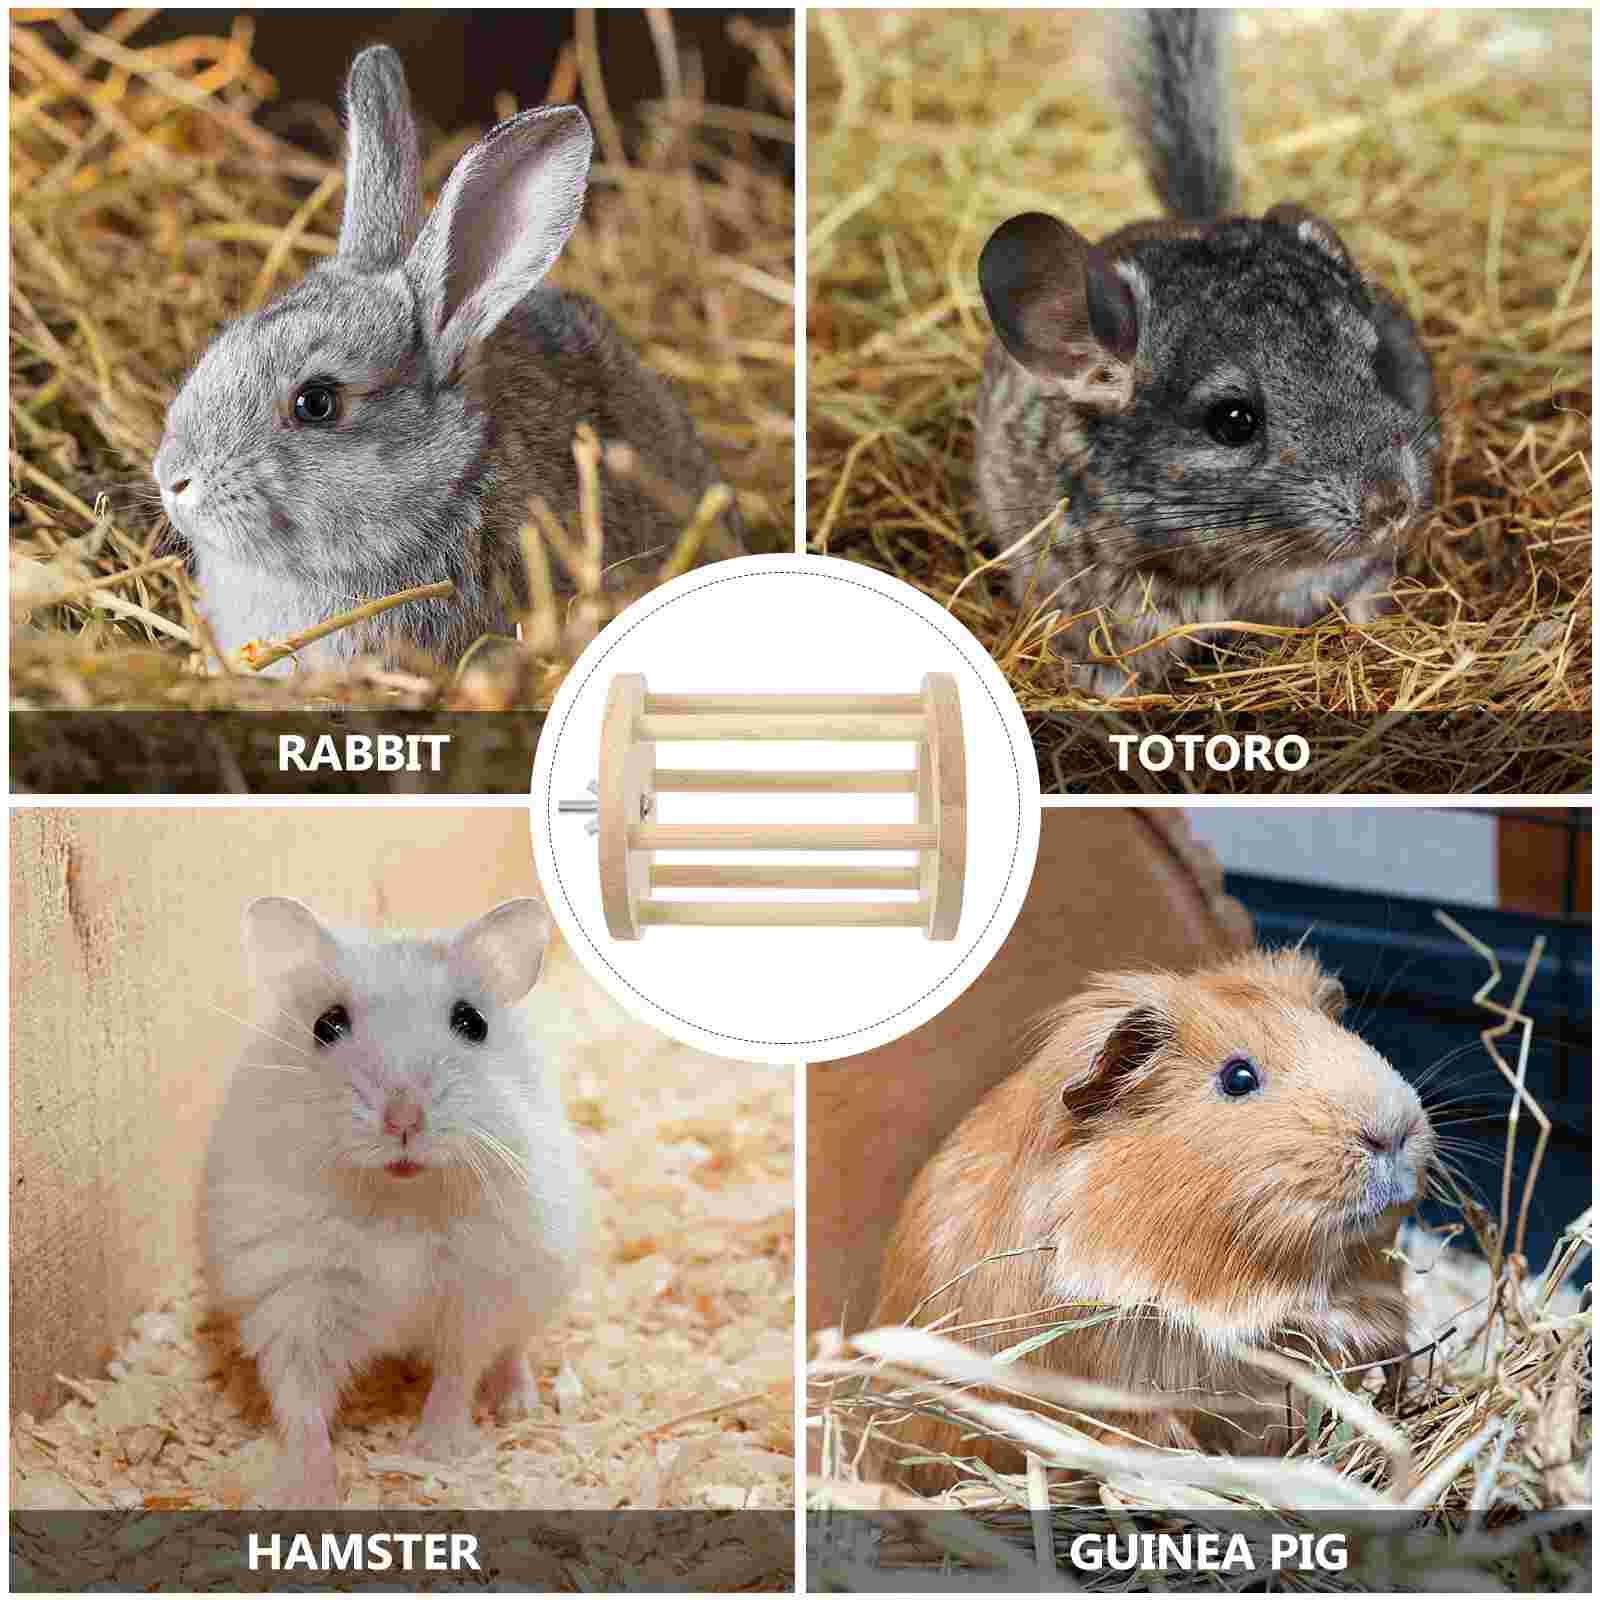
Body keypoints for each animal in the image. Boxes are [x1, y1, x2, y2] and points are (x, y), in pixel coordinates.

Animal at [205, 895, 589, 1507]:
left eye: (472, 1023)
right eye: (326, 1025)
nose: (404, 1120)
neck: (398, 1200)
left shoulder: (477, 1291)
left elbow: (458, 1373)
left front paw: (435, 1451)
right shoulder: (295, 1298)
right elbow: (301, 1402)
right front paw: (312, 1487)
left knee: (513, 1349)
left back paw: (516, 1405)